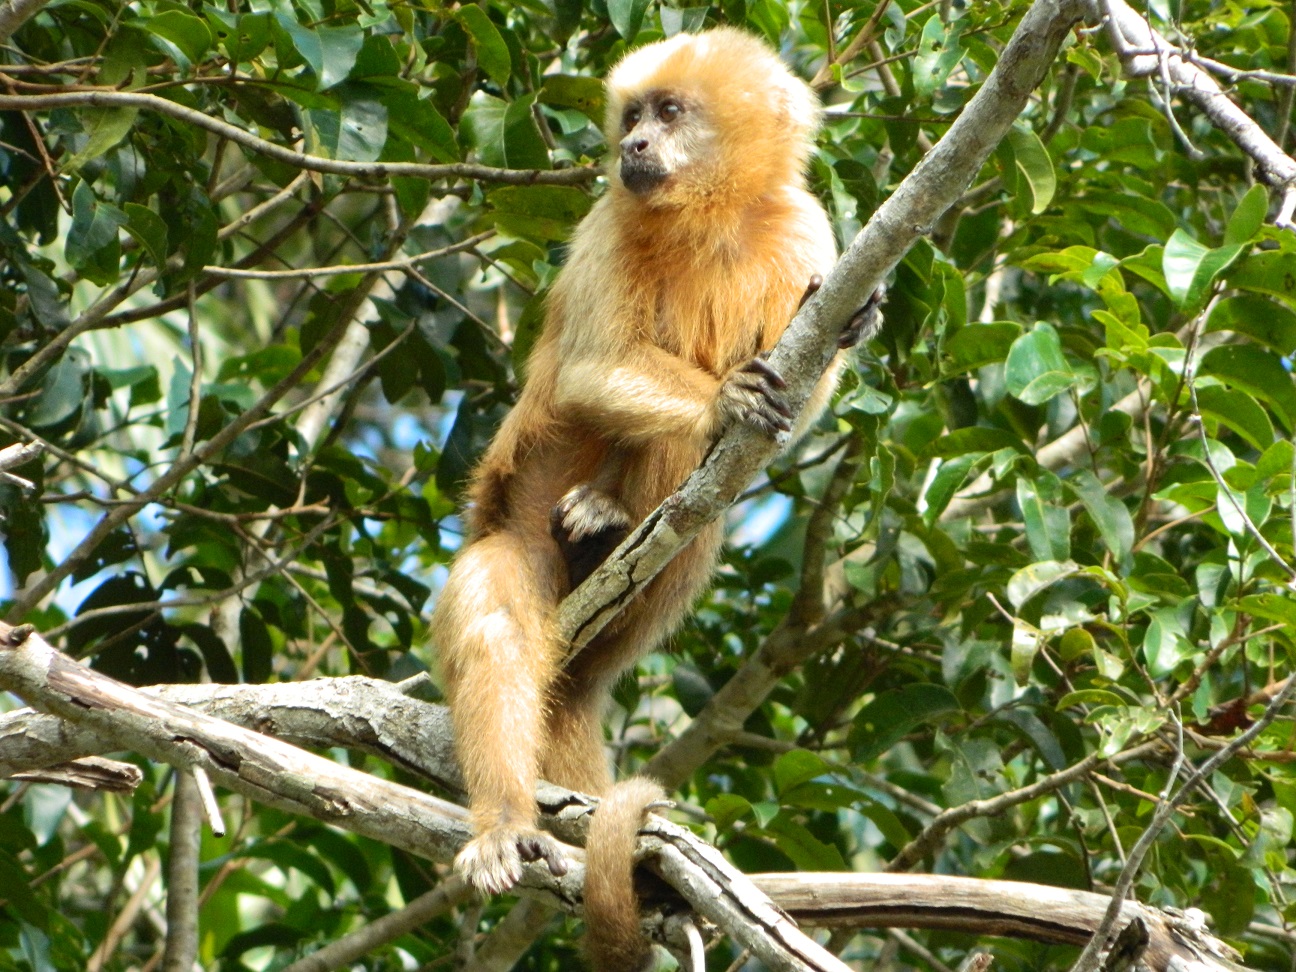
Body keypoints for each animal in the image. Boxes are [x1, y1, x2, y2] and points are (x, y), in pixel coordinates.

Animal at [430, 26, 883, 970]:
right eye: (634, 115)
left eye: (669, 113)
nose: (633, 144)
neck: (711, 214)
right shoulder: (608, 222)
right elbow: (590, 369)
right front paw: (725, 403)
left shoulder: (806, 229)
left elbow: (801, 393)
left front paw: (853, 329)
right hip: (516, 518)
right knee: (498, 612)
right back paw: (503, 818)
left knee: (700, 518)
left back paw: (611, 524)